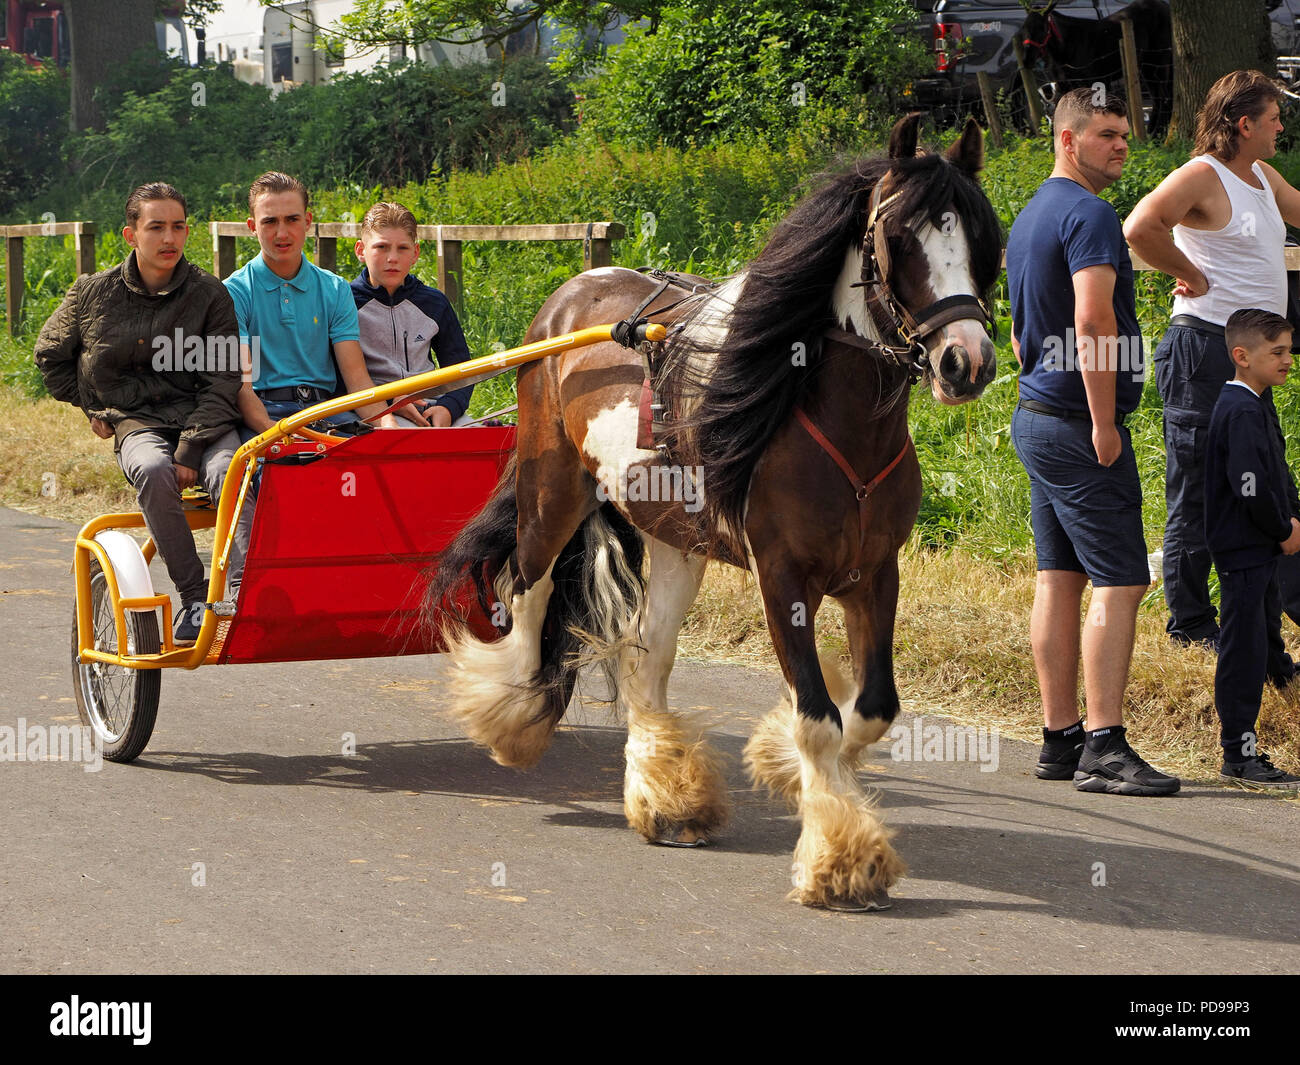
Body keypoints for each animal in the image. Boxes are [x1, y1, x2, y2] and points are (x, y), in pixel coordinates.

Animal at [426, 113, 1003, 911]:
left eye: (979, 234)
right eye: (899, 238)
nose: (965, 360)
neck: (832, 426)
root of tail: (570, 292)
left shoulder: (875, 573)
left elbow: (871, 709)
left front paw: (780, 762)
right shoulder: (783, 577)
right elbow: (819, 717)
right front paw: (840, 858)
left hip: (676, 539)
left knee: (647, 654)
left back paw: (668, 796)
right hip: (553, 493)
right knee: (527, 587)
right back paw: (511, 720)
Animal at [1021, 0, 1172, 137]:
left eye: (1042, 27)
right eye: (1024, 27)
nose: (1027, 59)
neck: (1066, 49)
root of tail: (1166, 6)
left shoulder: (1094, 80)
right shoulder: (1065, 84)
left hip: (1159, 61)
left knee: (1164, 97)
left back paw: (1157, 135)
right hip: (1147, 66)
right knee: (1159, 98)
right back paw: (1154, 134)